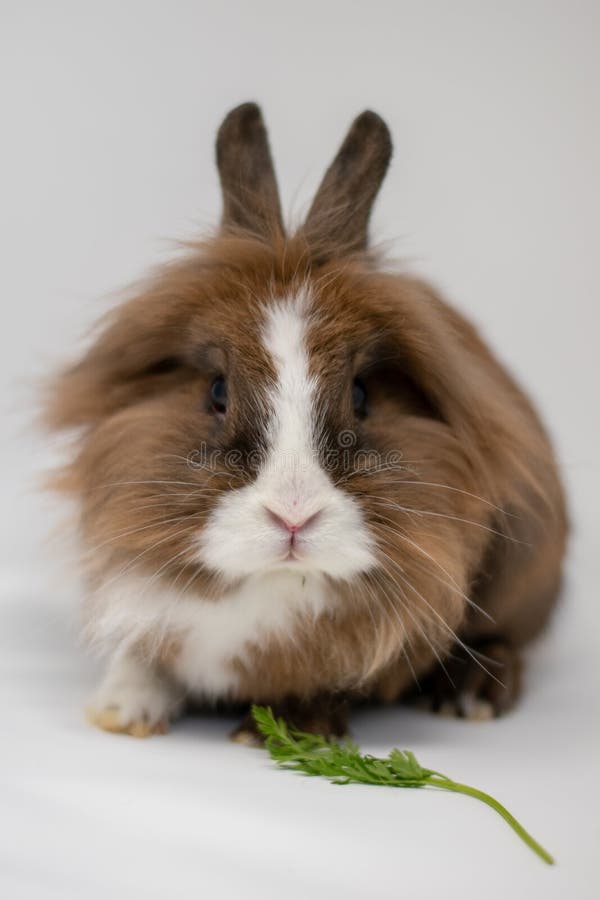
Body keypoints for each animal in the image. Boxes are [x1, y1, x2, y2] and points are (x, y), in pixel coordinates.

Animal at [45, 102, 567, 743]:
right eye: (216, 392)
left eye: (363, 394)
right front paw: (119, 712)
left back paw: (470, 696)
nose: (293, 515)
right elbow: (143, 655)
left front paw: (292, 729)